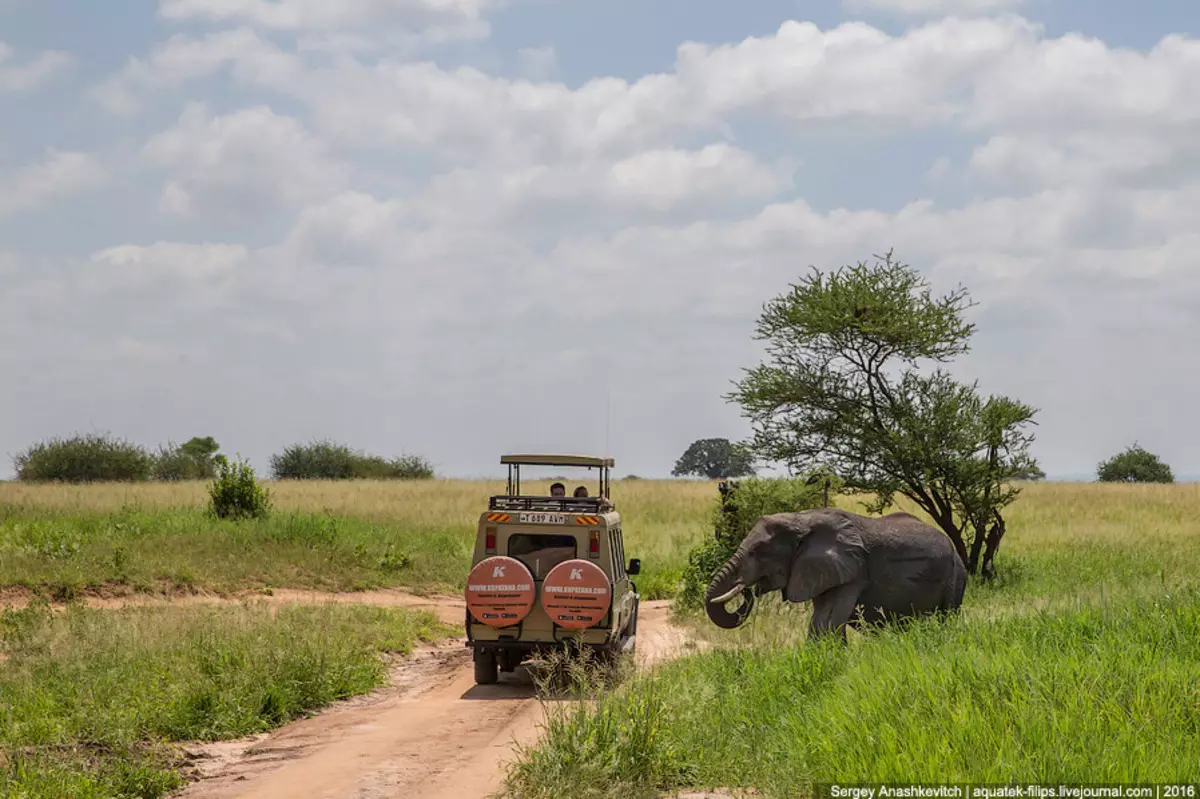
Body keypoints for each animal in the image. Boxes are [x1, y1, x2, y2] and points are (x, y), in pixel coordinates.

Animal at [700, 506, 964, 638]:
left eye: (758, 551)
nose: (748, 590)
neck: (802, 520)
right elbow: (819, 622)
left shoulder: (853, 572)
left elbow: (828, 623)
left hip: (954, 575)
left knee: (947, 616)